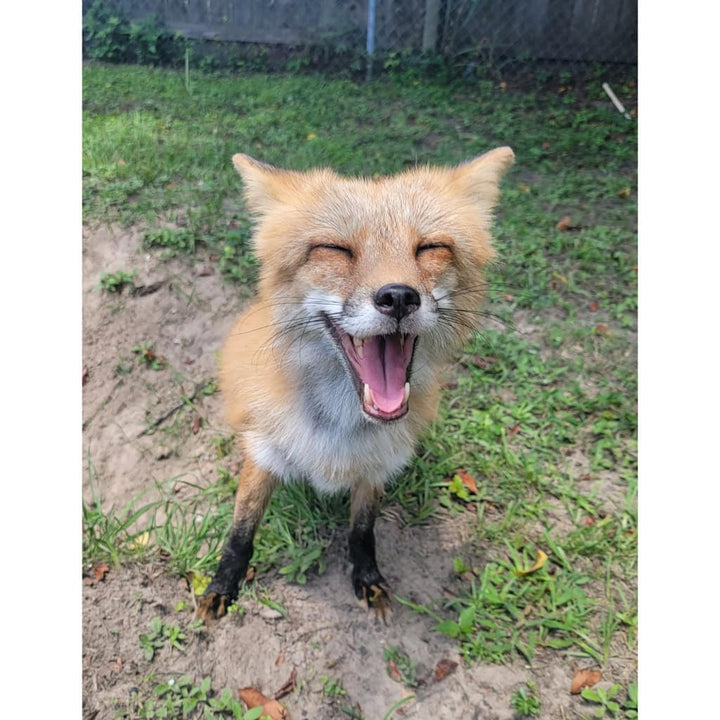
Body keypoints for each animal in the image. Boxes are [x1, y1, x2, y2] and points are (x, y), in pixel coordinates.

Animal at [197, 147, 514, 622]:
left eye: (430, 248)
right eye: (335, 249)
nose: (399, 297)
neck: (342, 427)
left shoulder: (378, 464)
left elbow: (362, 531)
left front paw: (367, 579)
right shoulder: (265, 451)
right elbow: (241, 529)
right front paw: (222, 584)